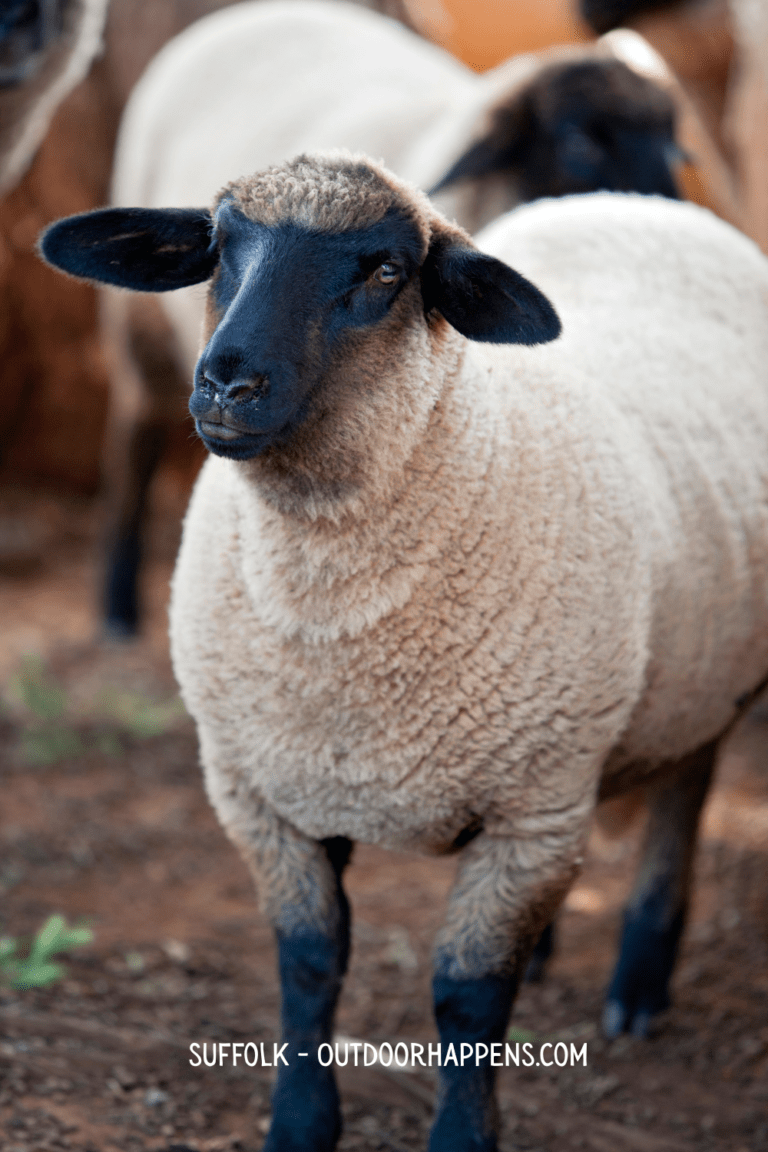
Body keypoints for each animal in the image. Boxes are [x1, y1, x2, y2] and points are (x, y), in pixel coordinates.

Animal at [40, 150, 768, 1148]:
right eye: (220, 244)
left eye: (386, 271)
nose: (225, 384)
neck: (342, 629)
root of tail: (636, 207)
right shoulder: (264, 796)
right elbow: (309, 963)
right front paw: (299, 1126)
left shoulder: (532, 813)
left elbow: (468, 997)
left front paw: (462, 1135)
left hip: (704, 682)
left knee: (684, 796)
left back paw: (638, 989)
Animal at [100, 0, 685, 638]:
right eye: (579, 143)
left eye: (673, 146)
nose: (663, 219)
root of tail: (258, 11)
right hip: (144, 330)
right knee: (136, 433)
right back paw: (118, 604)